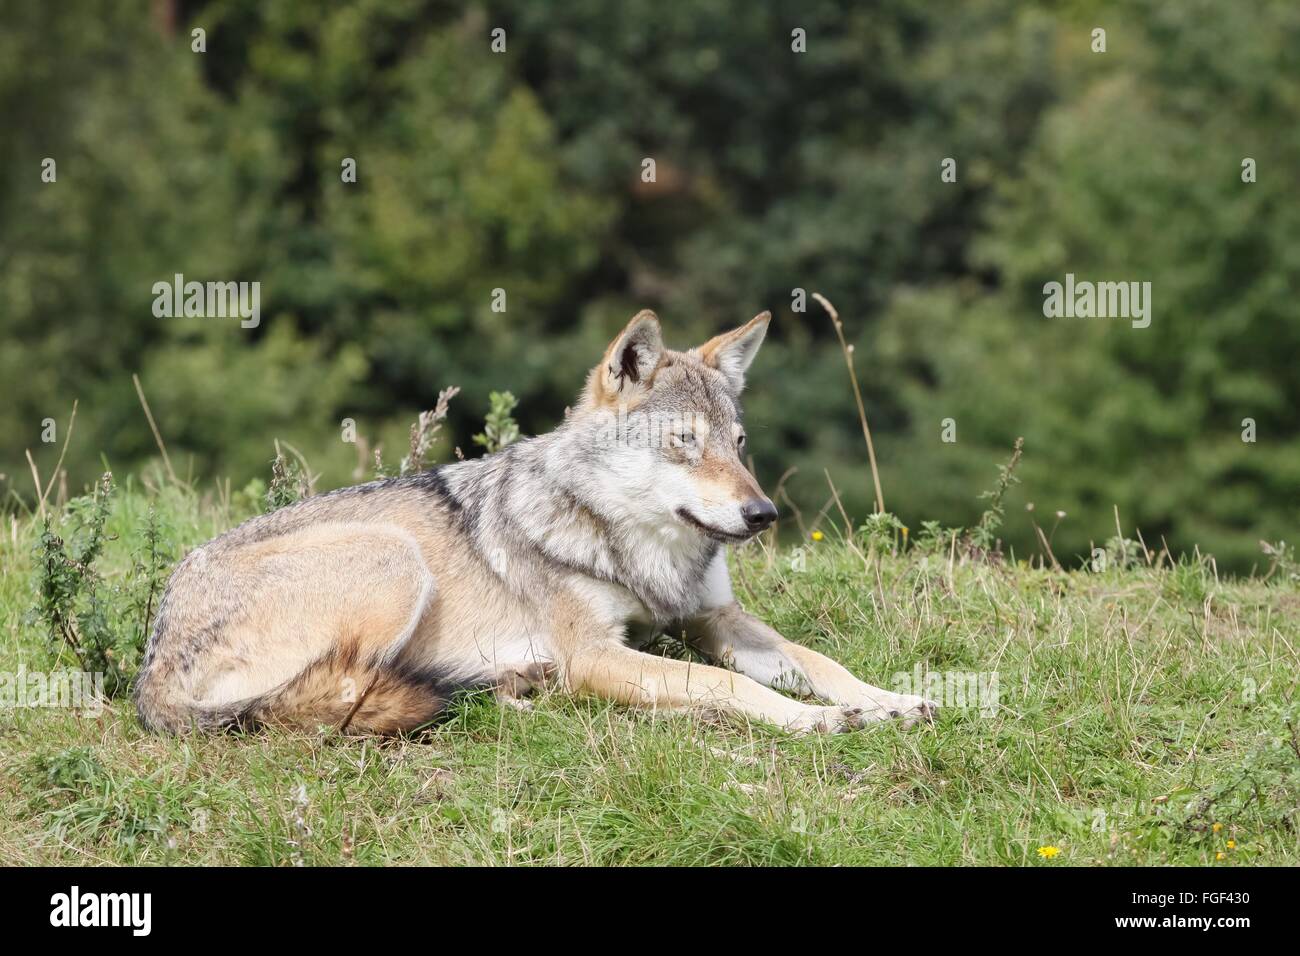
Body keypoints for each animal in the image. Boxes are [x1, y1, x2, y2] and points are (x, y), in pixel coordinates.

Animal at [135, 310, 936, 735]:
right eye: (685, 443)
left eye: (738, 446)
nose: (762, 514)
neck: (633, 546)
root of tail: (148, 676)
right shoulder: (598, 655)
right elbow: (723, 686)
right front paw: (814, 721)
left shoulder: (714, 620)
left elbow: (822, 664)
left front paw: (894, 700)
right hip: (395, 558)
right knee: (349, 693)